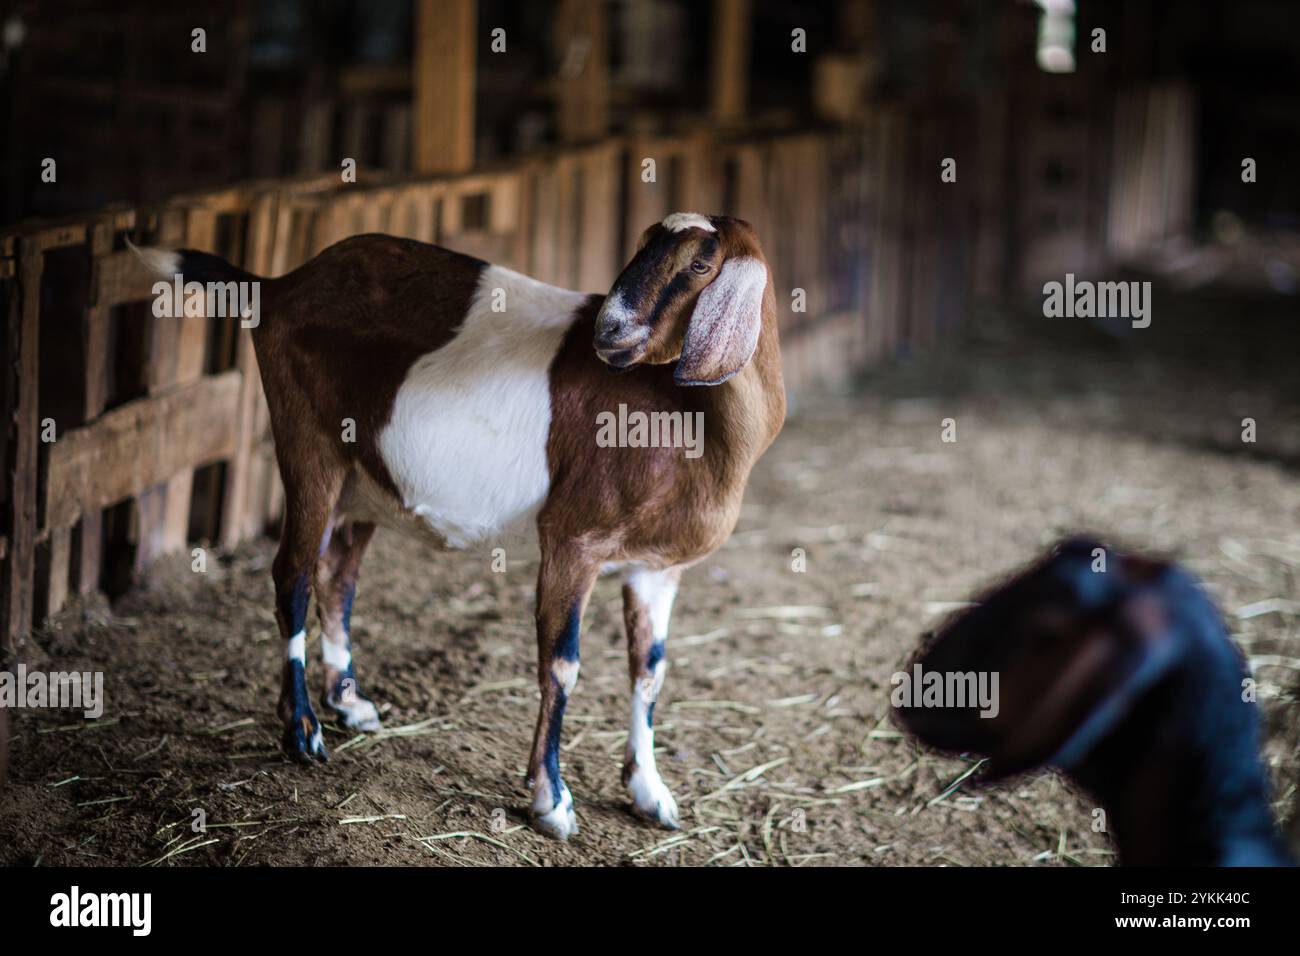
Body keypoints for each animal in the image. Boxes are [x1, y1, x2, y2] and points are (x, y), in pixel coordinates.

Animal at [133, 212, 785, 839]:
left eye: (700, 263)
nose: (608, 332)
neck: (684, 414)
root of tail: (279, 285)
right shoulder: (574, 541)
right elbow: (562, 666)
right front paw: (551, 801)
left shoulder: (657, 570)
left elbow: (649, 673)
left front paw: (650, 793)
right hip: (308, 446)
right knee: (291, 576)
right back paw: (303, 732)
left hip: (363, 481)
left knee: (337, 574)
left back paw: (349, 703)